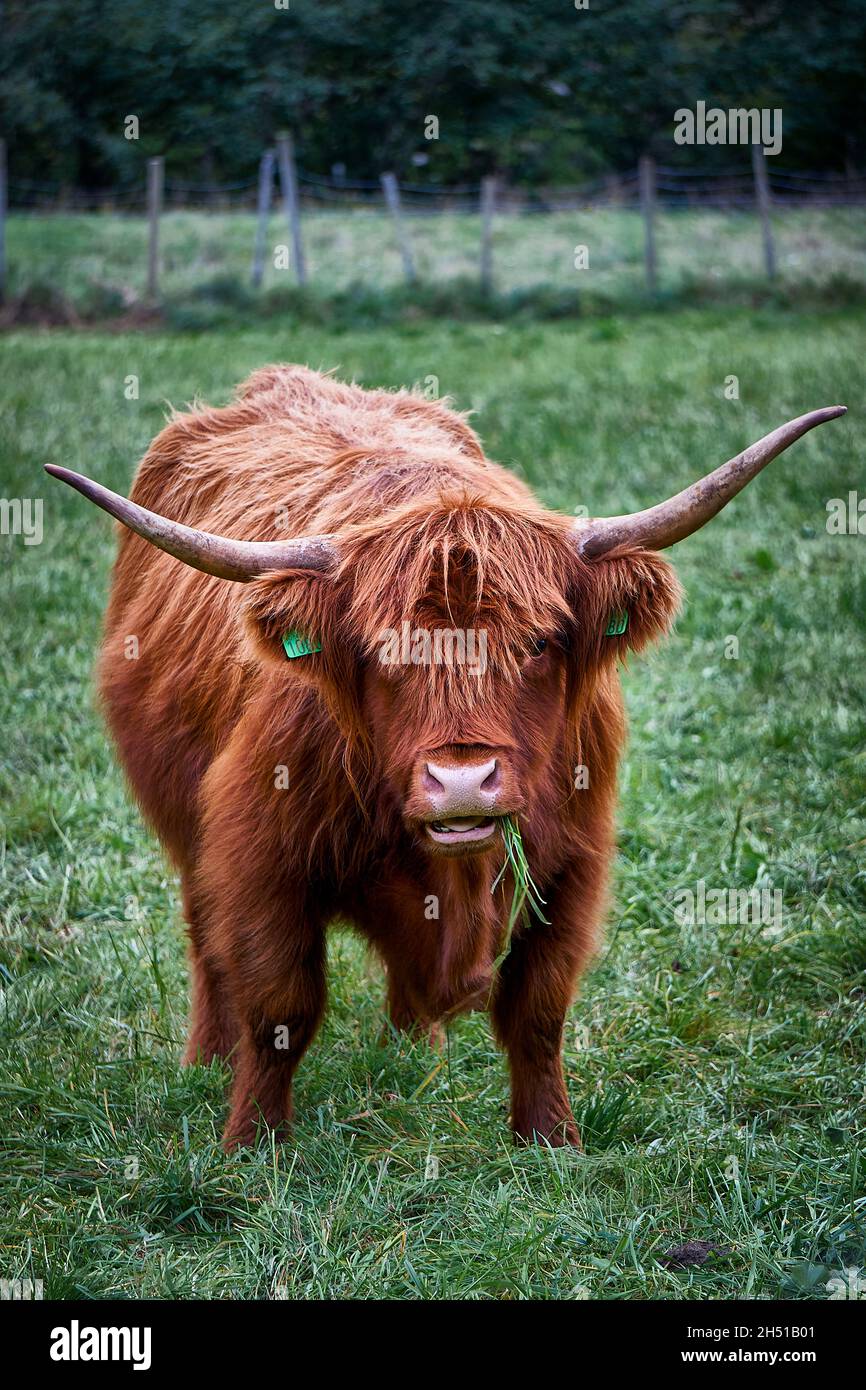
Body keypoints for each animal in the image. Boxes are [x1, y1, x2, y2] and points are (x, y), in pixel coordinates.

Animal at [46, 367, 845, 1149]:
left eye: (538, 642)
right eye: (382, 652)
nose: (461, 782)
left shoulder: (575, 861)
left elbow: (537, 1009)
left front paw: (552, 1141)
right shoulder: (259, 858)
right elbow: (279, 1006)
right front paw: (251, 1145)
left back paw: (411, 1058)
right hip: (186, 827)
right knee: (206, 942)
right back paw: (208, 1060)